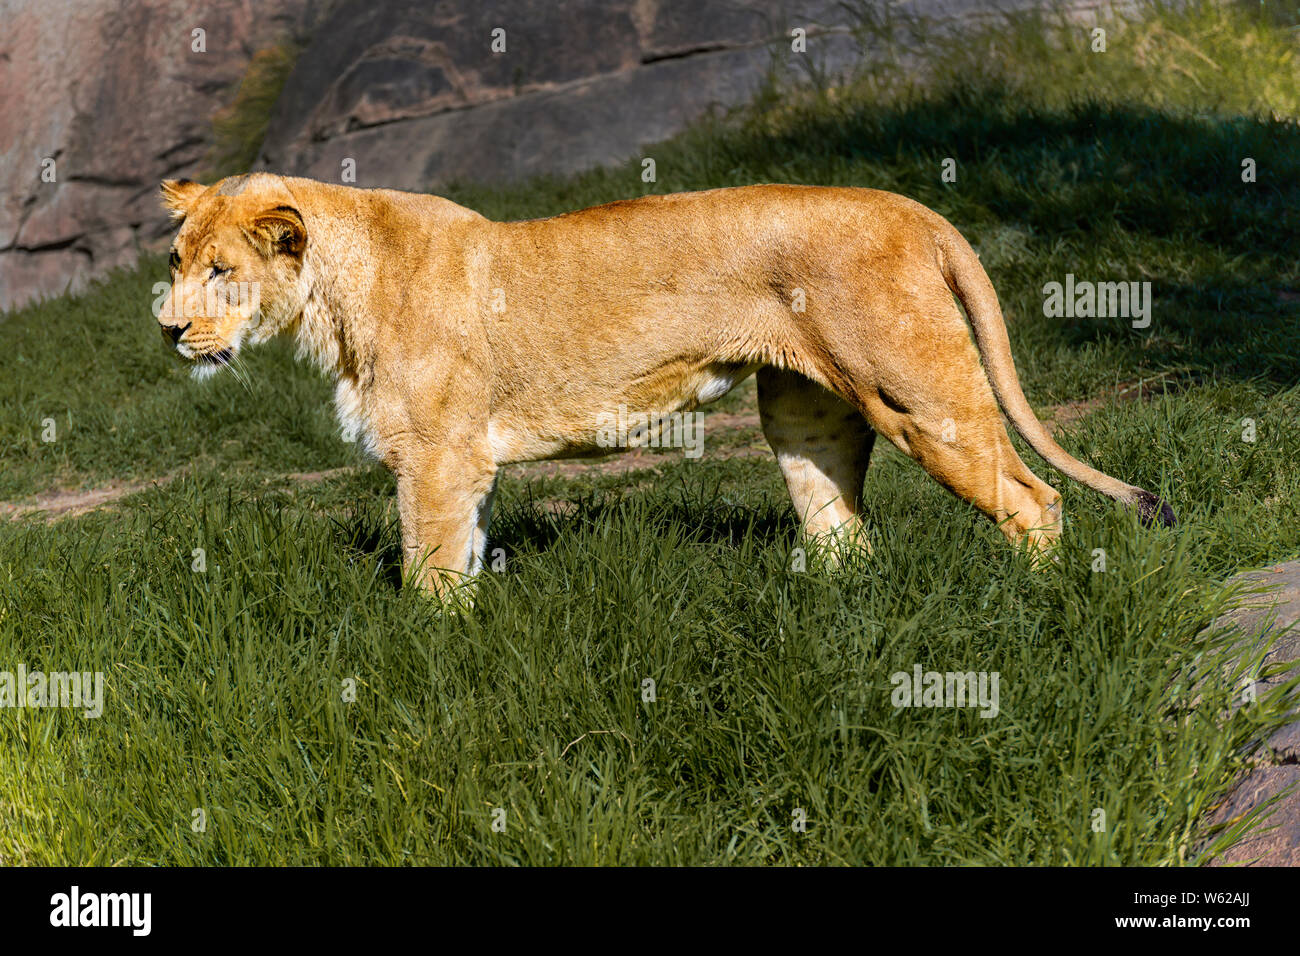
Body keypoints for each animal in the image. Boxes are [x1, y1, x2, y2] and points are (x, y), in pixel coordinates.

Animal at [156, 173, 1174, 597]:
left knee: (1033, 498)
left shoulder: (437, 456)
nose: (167, 329)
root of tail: (903, 203)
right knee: (842, 527)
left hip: (919, 395)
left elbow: (429, 570)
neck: (333, 297)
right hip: (807, 418)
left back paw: (1040, 606)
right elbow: (464, 558)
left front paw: (428, 656)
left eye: (220, 271)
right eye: (175, 260)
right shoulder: (460, 463)